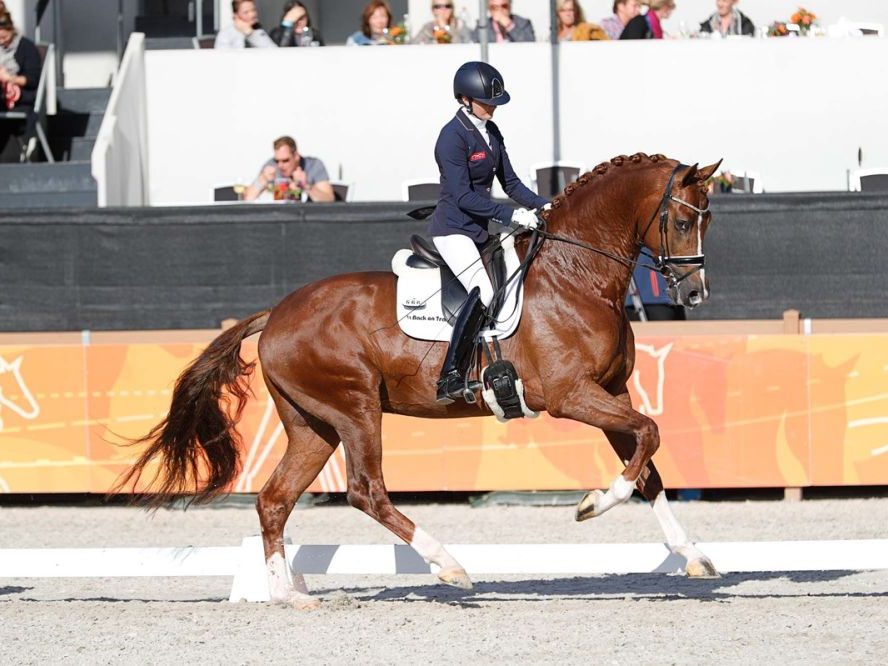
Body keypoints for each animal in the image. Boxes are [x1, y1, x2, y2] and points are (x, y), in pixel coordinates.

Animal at [116, 153, 722, 609]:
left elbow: (648, 465)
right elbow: (648, 439)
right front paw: (592, 504)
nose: (694, 294)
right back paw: (449, 566)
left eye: (708, 220)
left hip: (313, 425)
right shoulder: (571, 395)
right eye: (681, 221)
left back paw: (290, 596)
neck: (575, 276)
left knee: (274, 500)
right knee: (366, 491)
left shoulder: (611, 392)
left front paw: (693, 556)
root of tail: (277, 313)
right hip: (355, 409)